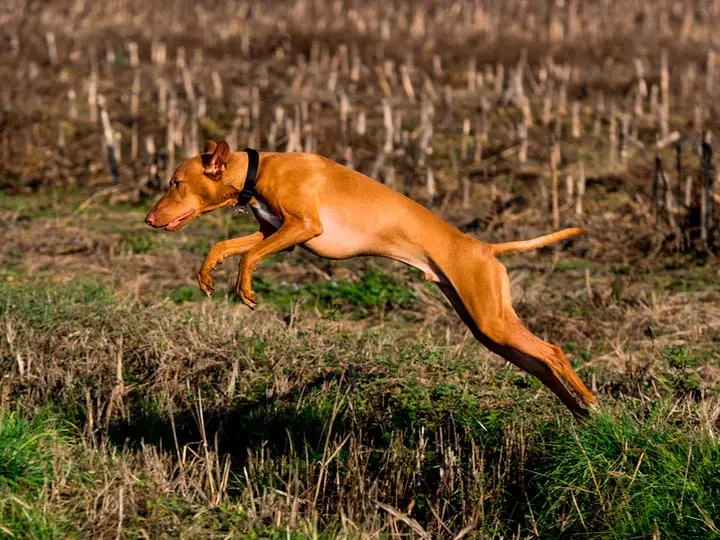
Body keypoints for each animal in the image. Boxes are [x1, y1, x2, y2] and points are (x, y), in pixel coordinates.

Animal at [145, 141, 596, 416]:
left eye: (176, 183)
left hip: (492, 319)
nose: (149, 219)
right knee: (541, 365)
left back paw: (590, 400)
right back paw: (578, 410)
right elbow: (224, 247)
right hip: (488, 329)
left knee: (553, 351)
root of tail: (484, 247)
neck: (261, 169)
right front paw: (207, 276)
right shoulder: (276, 233)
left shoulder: (303, 227)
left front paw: (245, 289)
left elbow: (249, 257)